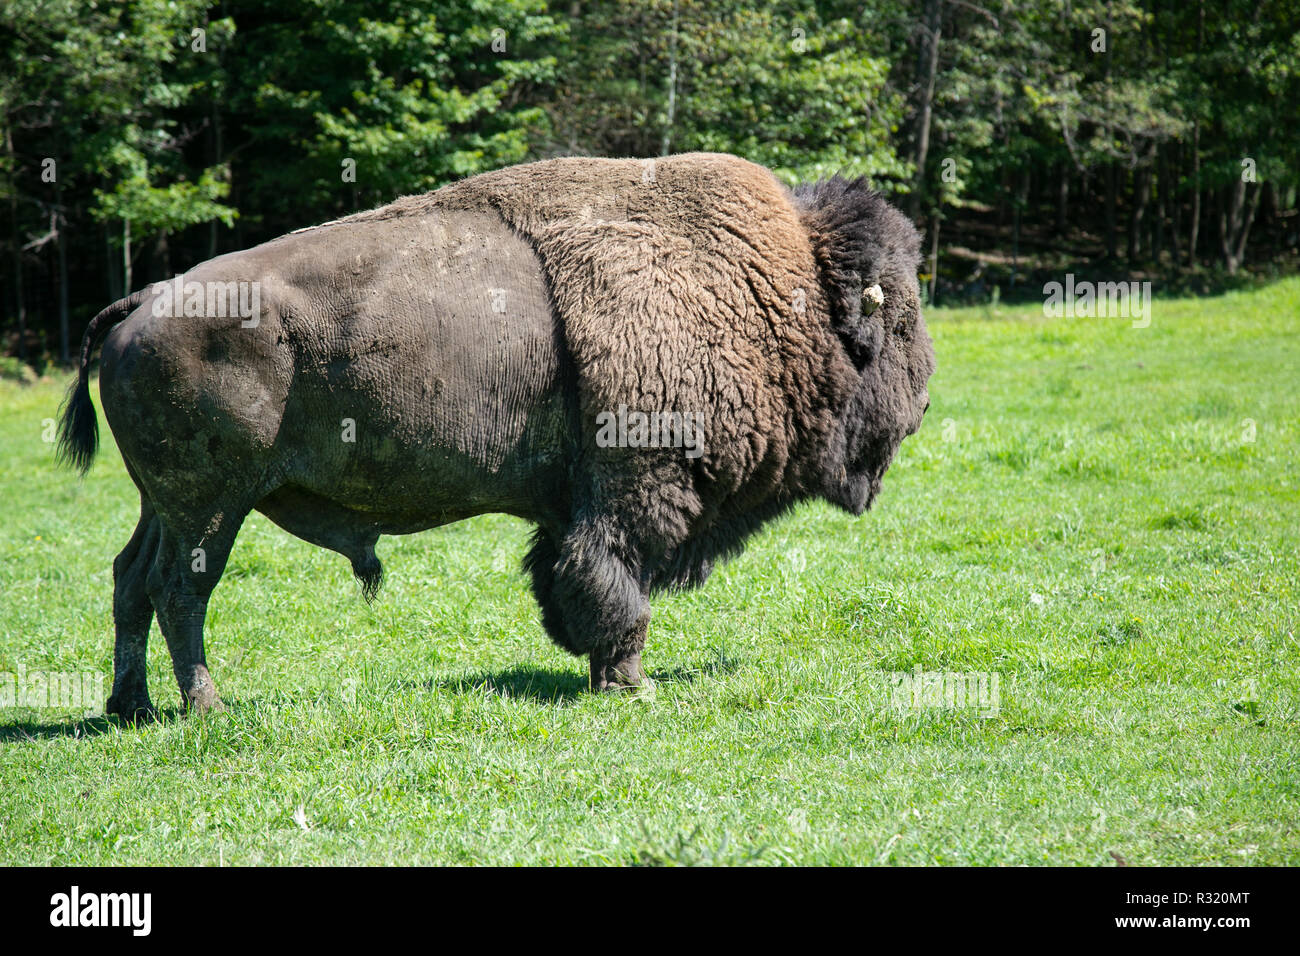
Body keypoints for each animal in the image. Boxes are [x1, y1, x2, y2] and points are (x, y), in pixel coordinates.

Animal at [57, 152, 934, 718]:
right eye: (895, 321)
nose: (924, 400)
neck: (776, 288)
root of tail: (140, 304)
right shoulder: (637, 492)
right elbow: (614, 584)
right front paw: (628, 682)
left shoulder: (575, 507)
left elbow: (567, 577)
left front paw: (592, 665)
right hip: (212, 508)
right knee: (180, 590)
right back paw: (206, 708)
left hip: (164, 505)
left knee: (129, 579)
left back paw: (129, 707)